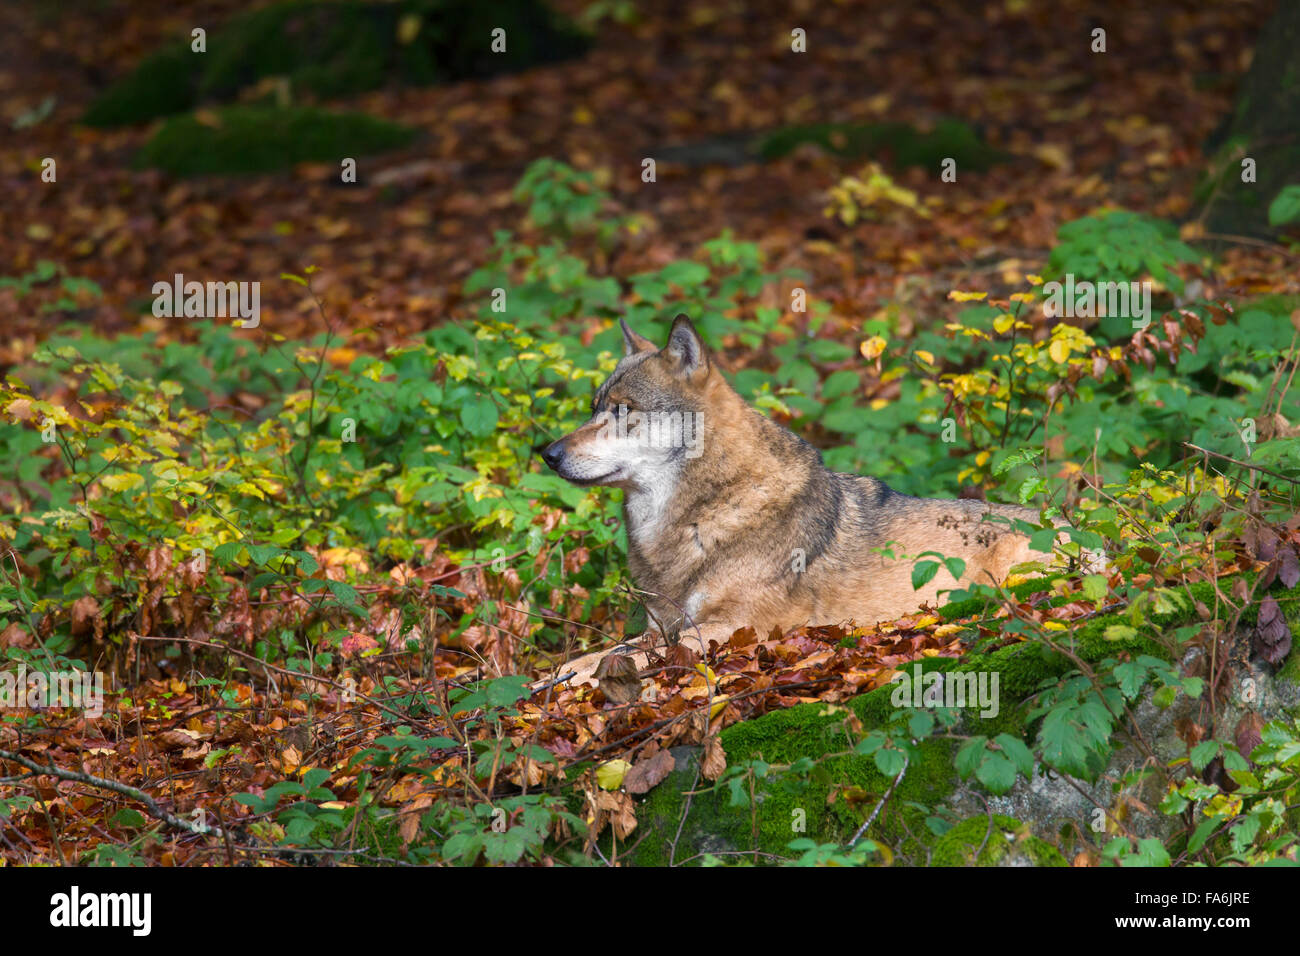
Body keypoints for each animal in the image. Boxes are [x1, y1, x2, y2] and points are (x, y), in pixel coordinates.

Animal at [542, 314, 1070, 677]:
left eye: (621, 410)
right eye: (594, 408)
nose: (547, 453)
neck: (706, 512)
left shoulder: (736, 627)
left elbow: (613, 660)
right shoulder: (660, 626)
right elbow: (602, 654)